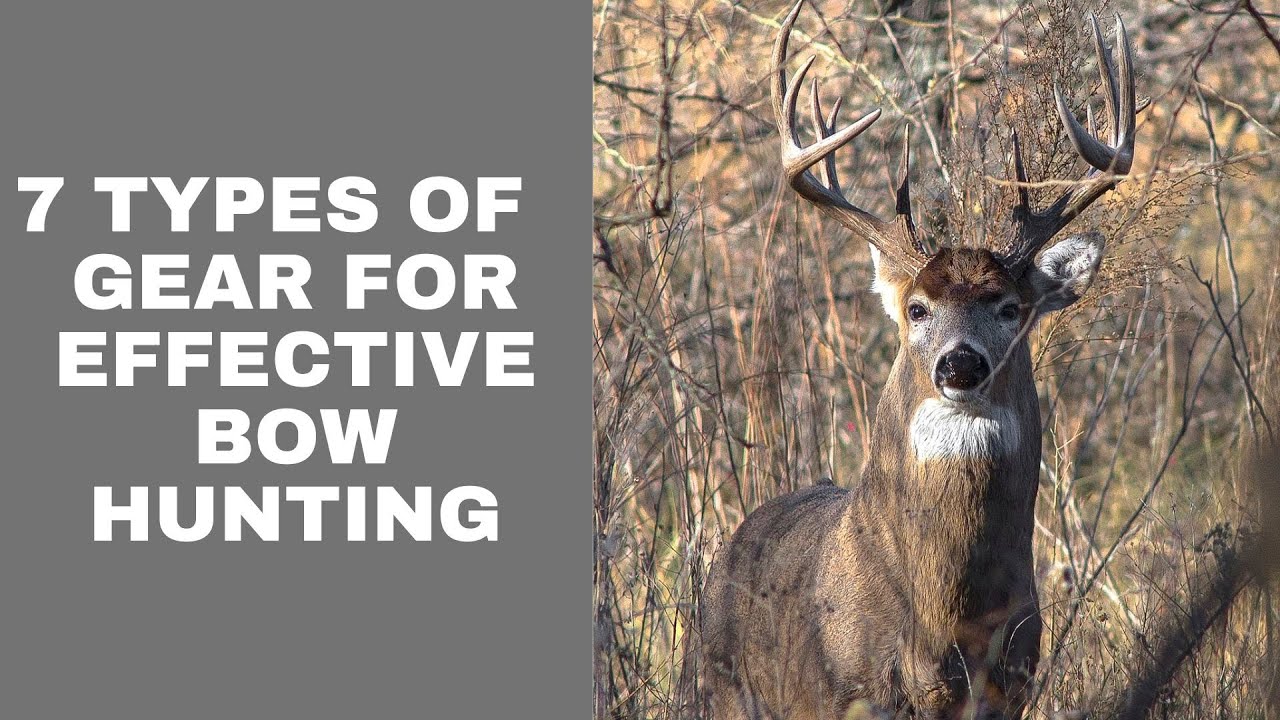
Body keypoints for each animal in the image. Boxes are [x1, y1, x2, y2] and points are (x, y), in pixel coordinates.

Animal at [699, 2, 1138, 719]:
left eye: (1010, 307)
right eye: (917, 308)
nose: (961, 365)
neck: (946, 619)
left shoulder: (1013, 684)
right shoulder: (854, 692)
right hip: (723, 689)